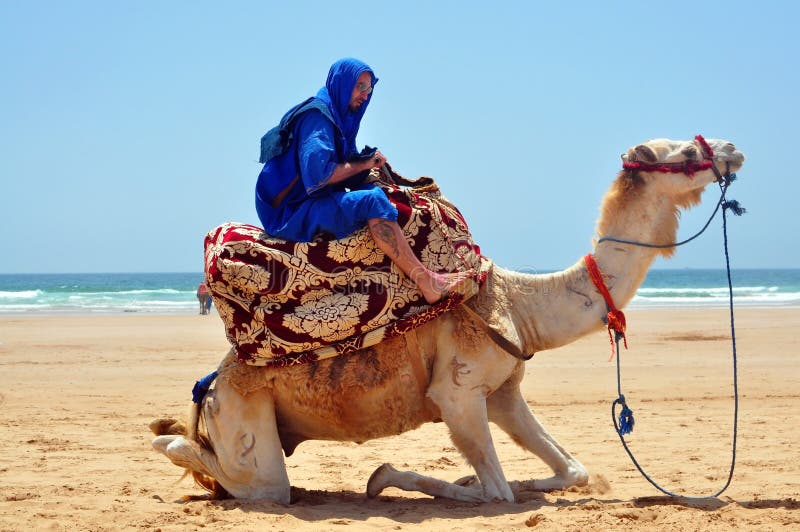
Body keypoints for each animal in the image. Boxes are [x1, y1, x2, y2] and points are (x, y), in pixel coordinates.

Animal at [151, 136, 745, 503]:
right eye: (685, 150)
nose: (733, 150)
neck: (520, 304)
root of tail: (211, 387)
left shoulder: (502, 392)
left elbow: (571, 469)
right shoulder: (458, 394)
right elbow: (493, 490)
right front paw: (384, 476)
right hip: (244, 422)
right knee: (255, 482)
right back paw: (166, 439)